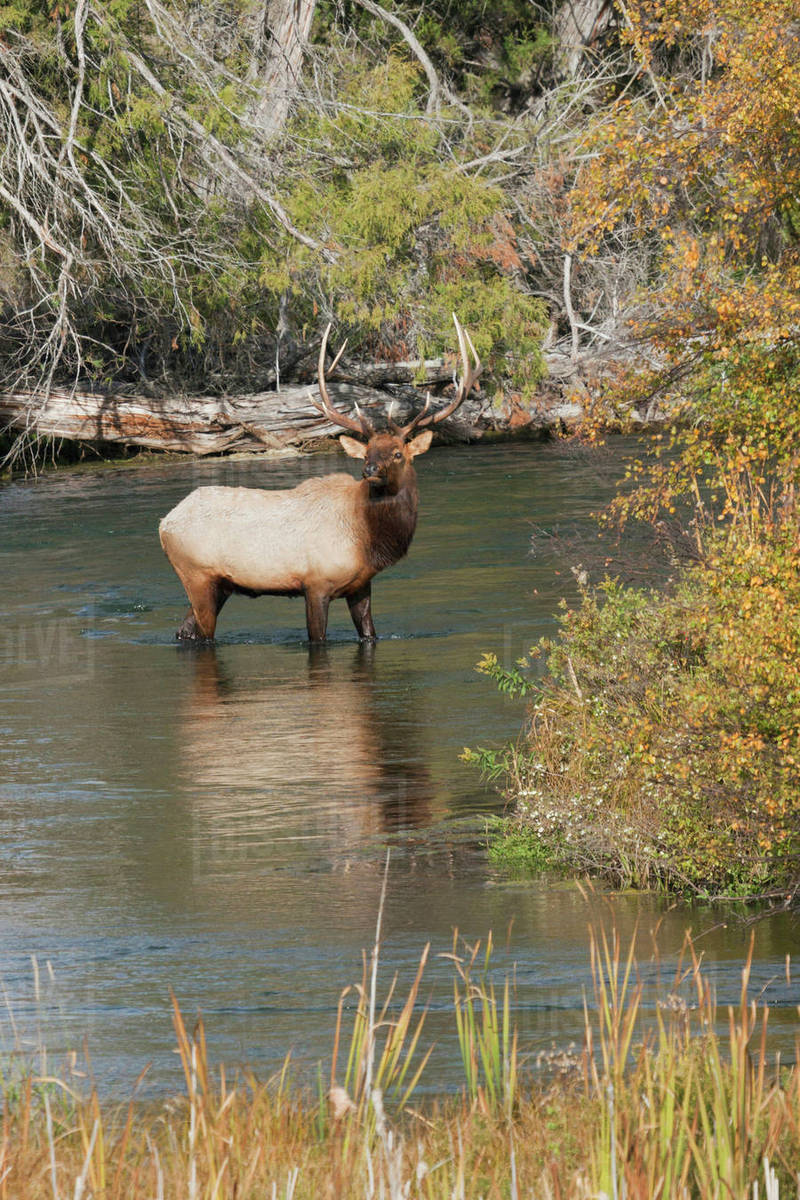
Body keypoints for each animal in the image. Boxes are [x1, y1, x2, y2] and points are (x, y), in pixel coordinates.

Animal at [158, 314, 481, 643]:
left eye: (397, 454)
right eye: (366, 453)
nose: (369, 471)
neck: (368, 539)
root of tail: (164, 523)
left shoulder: (361, 585)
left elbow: (369, 634)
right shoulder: (315, 584)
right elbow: (318, 639)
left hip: (220, 584)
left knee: (184, 632)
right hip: (198, 576)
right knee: (203, 634)